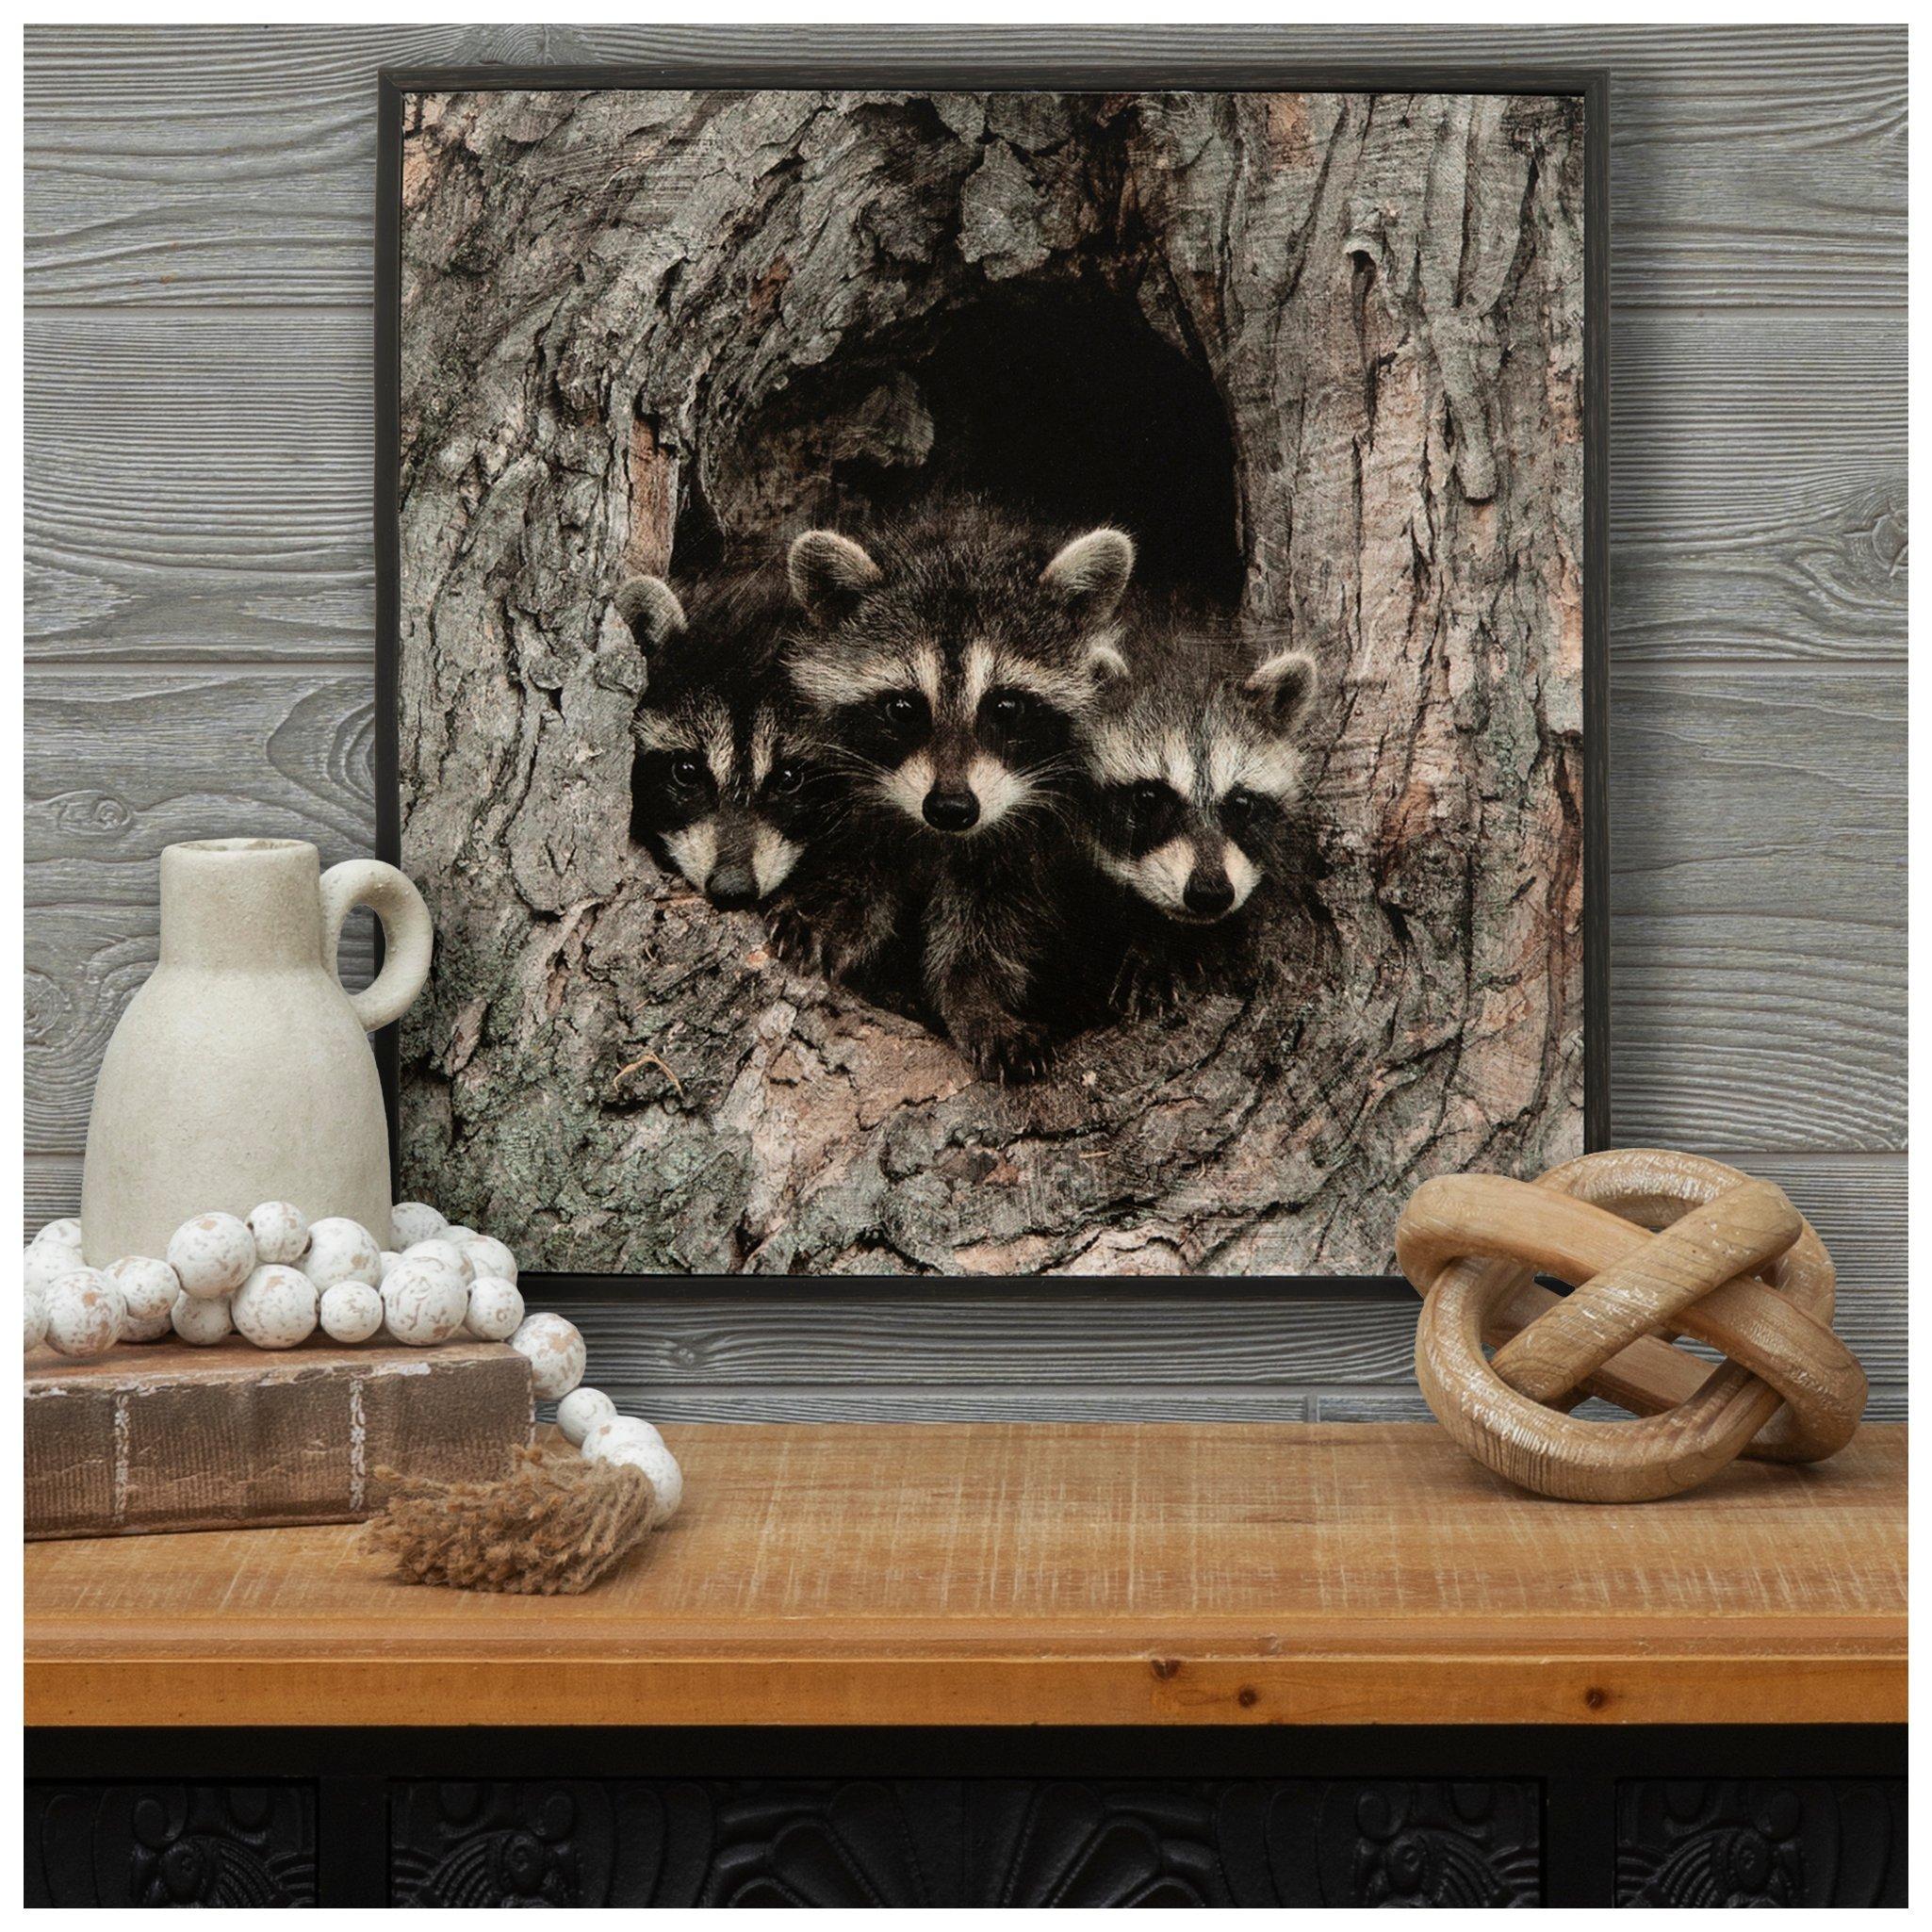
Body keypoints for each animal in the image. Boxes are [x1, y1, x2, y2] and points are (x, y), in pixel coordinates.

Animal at [783, 498, 1135, 1079]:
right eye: (903, 708)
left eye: (1006, 706)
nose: (951, 808)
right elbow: (858, 865)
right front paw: (830, 912)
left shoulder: (1025, 835)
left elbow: (988, 924)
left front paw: (976, 1000)